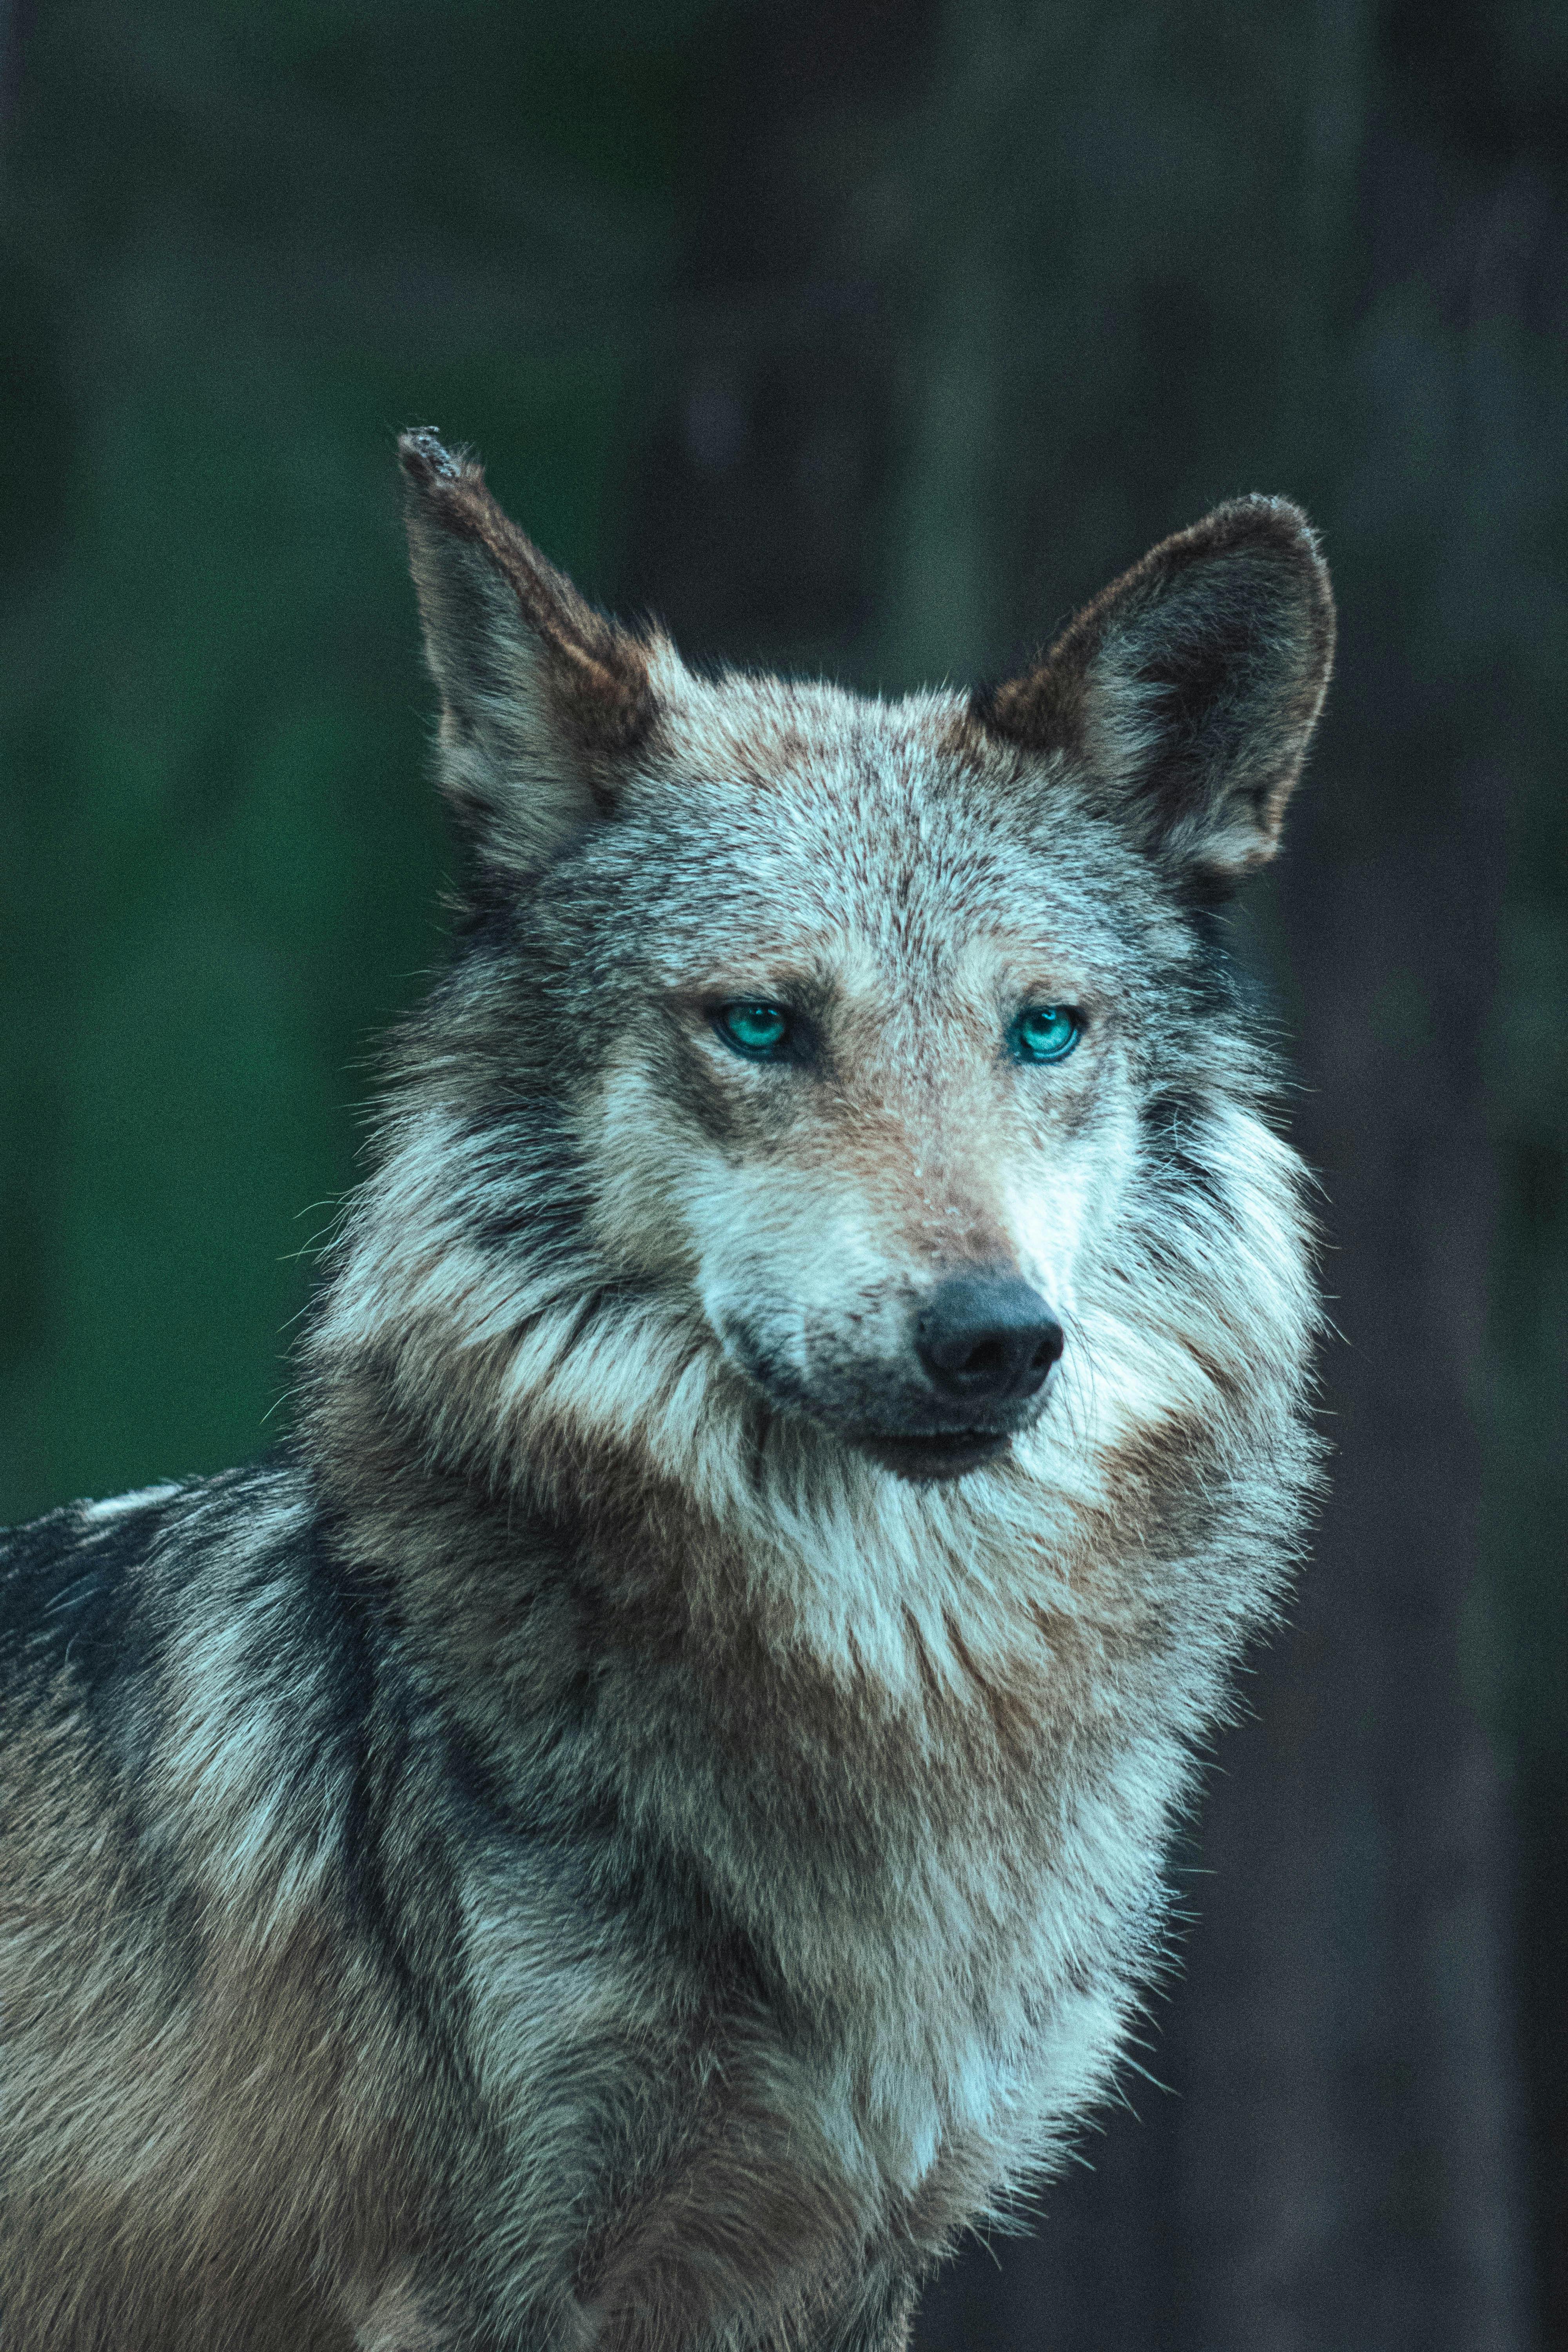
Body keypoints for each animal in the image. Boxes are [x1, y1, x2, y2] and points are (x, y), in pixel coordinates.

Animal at [0, 431, 1333, 2350]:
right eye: (761, 1025)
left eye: (1043, 1028)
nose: (993, 1334)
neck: (898, 1678)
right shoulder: (475, 2280)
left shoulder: (854, 2268)